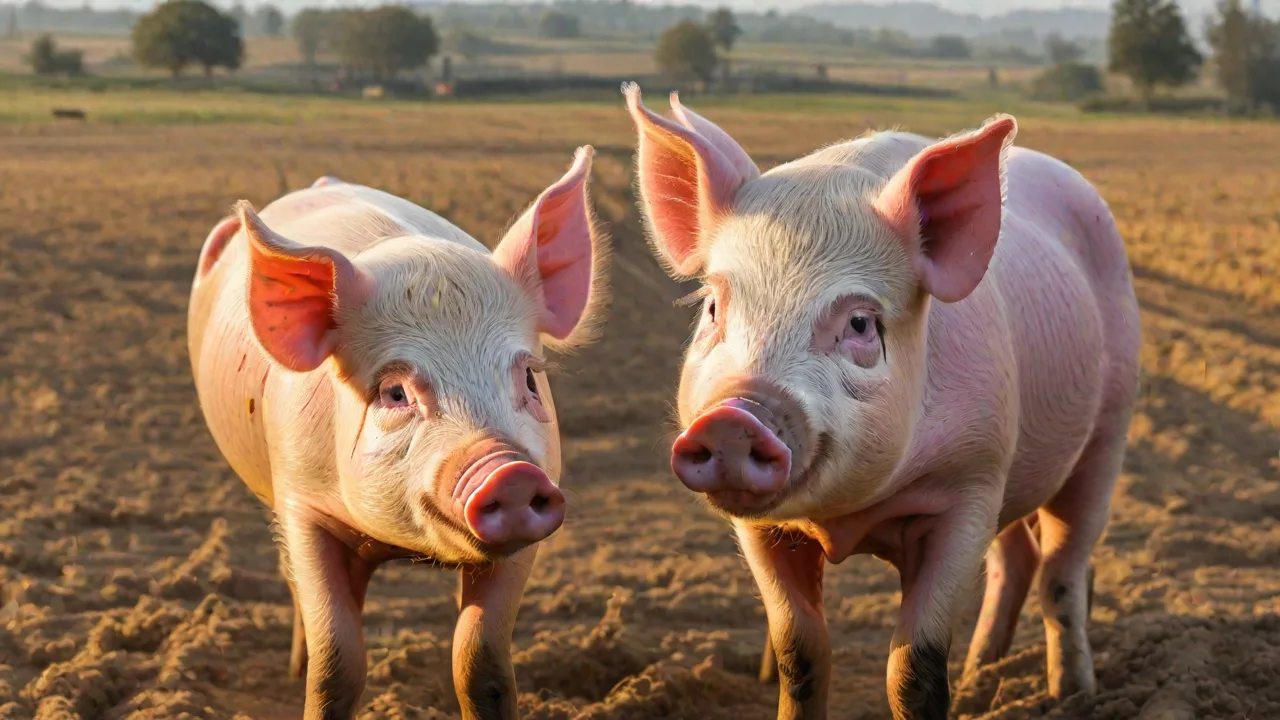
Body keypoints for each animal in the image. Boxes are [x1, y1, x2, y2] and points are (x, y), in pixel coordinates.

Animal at [186, 146, 609, 720]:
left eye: (528, 377)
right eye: (394, 392)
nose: (511, 473)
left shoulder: (531, 527)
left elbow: (480, 659)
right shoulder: (301, 504)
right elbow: (337, 663)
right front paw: (313, 676)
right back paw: (295, 667)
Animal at [622, 82, 1140, 720]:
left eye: (861, 323)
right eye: (714, 308)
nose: (731, 418)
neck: (849, 518)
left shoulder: (970, 483)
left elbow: (913, 667)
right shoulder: (760, 530)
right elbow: (801, 651)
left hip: (1108, 428)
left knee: (1062, 567)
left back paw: (1071, 695)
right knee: (1016, 559)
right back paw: (981, 673)